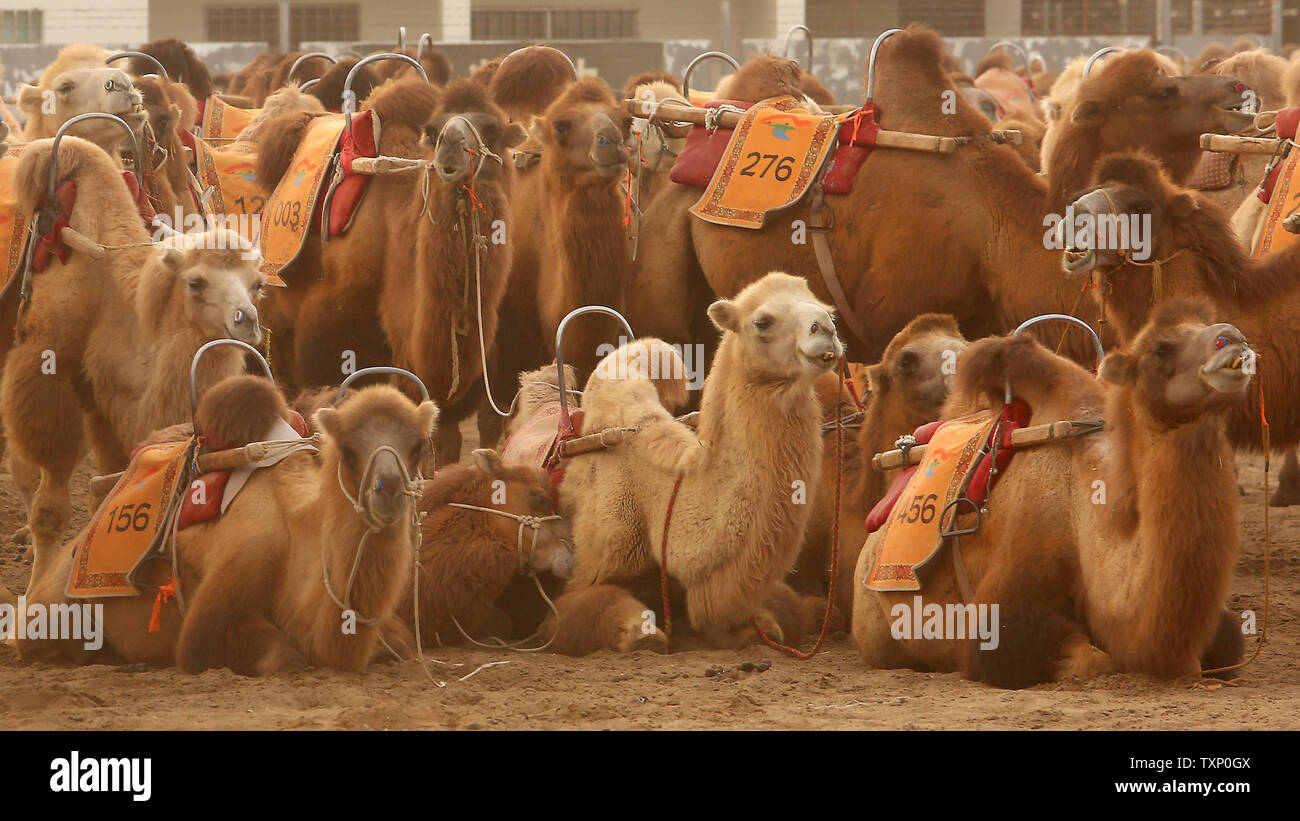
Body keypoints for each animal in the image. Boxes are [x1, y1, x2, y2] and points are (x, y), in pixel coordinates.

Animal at [2, 137, 265, 567]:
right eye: (196, 283)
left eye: (257, 284)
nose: (246, 322)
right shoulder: (46, 373)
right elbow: (51, 506)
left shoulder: (105, 402)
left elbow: (105, 494)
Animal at [17, 376, 438, 674]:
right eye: (348, 451)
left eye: (418, 446)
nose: (388, 490)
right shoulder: (240, 569)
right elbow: (280, 656)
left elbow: (401, 645)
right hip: (53, 606)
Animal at [546, 273, 842, 654]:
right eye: (762, 321)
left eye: (828, 310)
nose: (827, 329)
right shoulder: (587, 568)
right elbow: (606, 613)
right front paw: (643, 632)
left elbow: (769, 620)